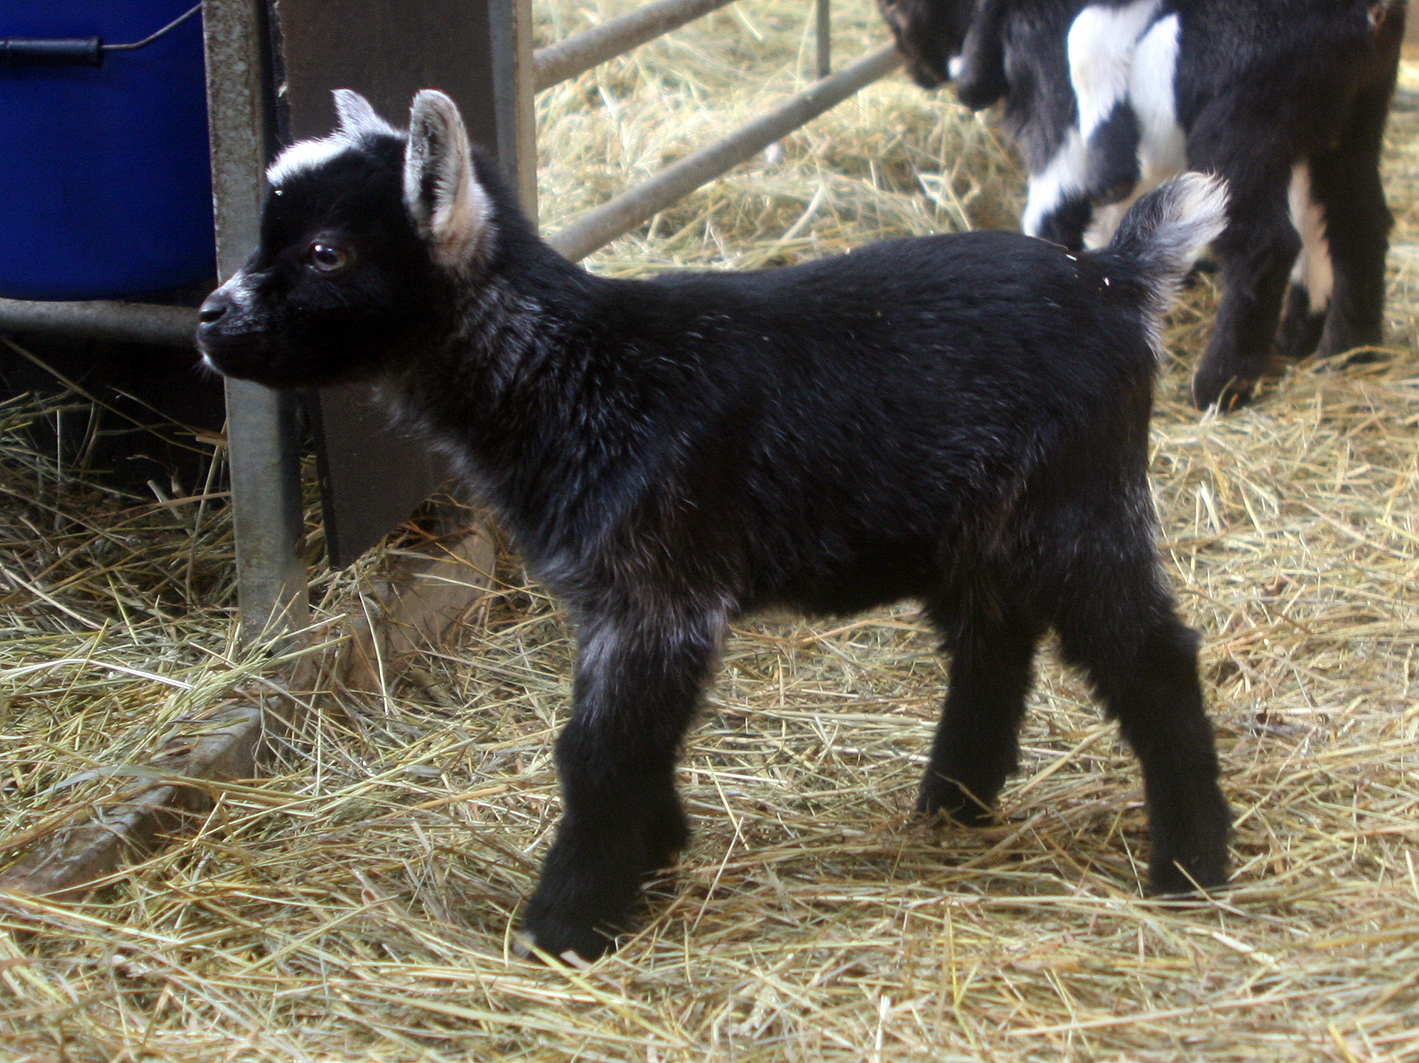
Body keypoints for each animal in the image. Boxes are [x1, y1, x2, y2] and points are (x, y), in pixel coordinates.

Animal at [196, 89, 1233, 961]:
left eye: (327, 251)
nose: (209, 320)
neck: (575, 371)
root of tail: (1114, 277)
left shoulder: (656, 592)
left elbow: (599, 752)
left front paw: (566, 922)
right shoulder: (618, 601)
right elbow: (620, 742)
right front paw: (654, 852)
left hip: (1078, 507)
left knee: (1153, 658)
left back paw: (1190, 863)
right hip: (975, 522)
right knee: (993, 641)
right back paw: (952, 805)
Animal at [878, 0, 1405, 409]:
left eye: (895, 13)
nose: (918, 74)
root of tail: (1368, 13)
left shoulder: (1057, 127)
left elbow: (1053, 216)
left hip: (1241, 121)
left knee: (1266, 243)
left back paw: (1222, 384)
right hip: (1355, 114)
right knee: (1358, 218)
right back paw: (1348, 349)